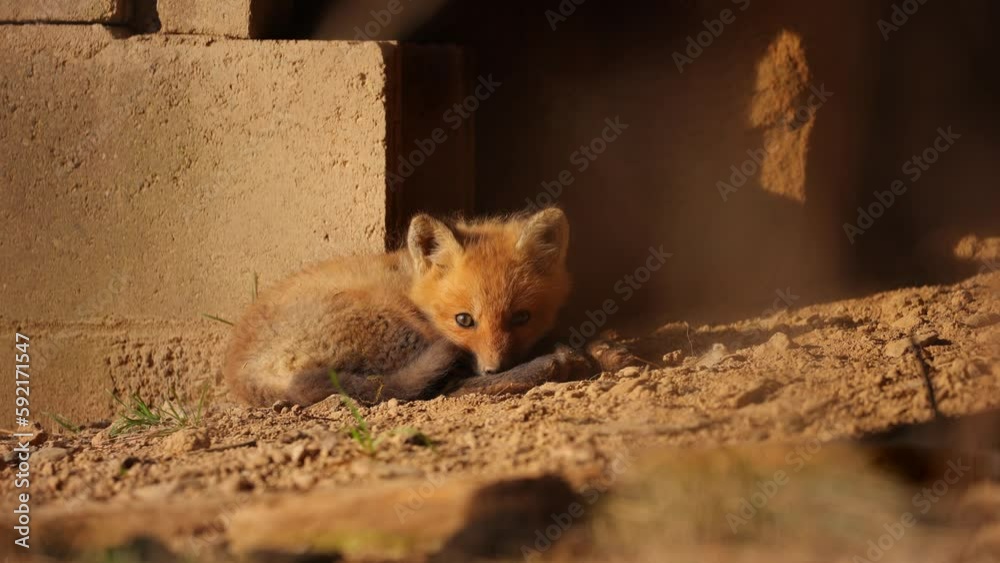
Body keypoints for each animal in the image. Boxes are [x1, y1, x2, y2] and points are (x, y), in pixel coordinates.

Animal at [224, 208, 630, 406]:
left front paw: (608, 346)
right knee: (449, 388)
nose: (494, 367)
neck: (408, 281)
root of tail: (241, 371)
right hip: (396, 326)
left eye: (521, 318)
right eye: (464, 320)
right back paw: (553, 365)